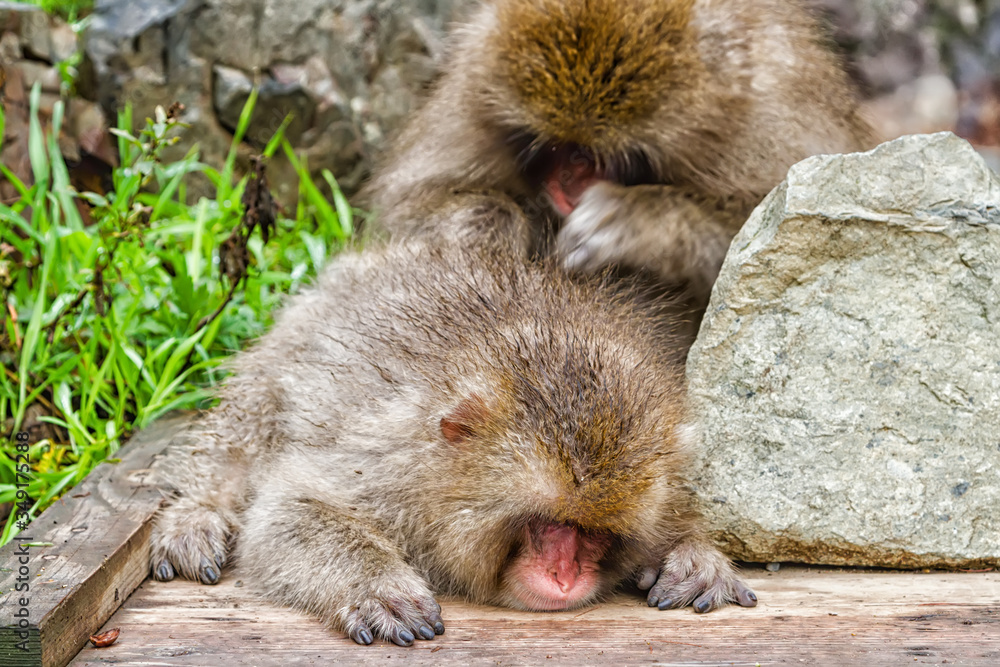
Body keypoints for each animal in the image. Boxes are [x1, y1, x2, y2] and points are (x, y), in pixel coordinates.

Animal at [149, 235, 758, 647]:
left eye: (593, 532)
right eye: (547, 525)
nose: (565, 578)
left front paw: (693, 557)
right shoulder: (388, 472)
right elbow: (288, 510)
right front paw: (375, 585)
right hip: (287, 340)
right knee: (253, 415)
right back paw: (200, 512)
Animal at [362, 0, 876, 316]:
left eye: (608, 154)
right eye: (553, 146)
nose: (570, 180)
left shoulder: (763, 129)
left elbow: (763, 259)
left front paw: (637, 222)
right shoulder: (471, 92)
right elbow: (413, 203)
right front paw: (488, 236)